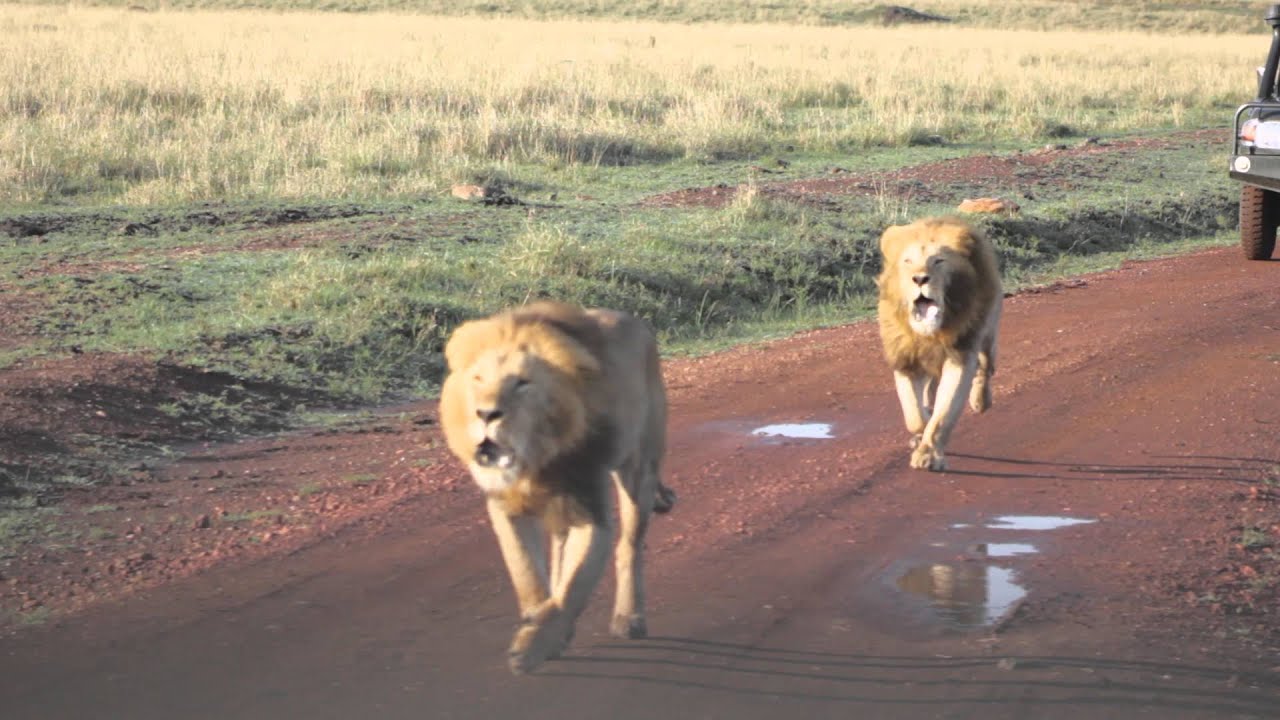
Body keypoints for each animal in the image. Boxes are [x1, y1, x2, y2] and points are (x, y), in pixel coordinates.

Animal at [438, 301, 676, 674]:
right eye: (478, 380)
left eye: (523, 384)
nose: (485, 413)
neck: (534, 461)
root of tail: (639, 323)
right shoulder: (505, 509)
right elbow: (527, 574)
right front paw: (537, 622)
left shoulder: (590, 509)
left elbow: (572, 586)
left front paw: (533, 647)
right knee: (562, 551)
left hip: (639, 469)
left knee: (629, 547)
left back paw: (629, 618)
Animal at [876, 216, 1002, 472]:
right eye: (907, 261)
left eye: (939, 261)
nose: (920, 278)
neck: (930, 334)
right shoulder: (905, 360)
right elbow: (914, 415)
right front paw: (919, 435)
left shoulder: (960, 356)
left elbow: (942, 415)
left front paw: (929, 456)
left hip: (987, 331)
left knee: (985, 367)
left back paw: (980, 401)